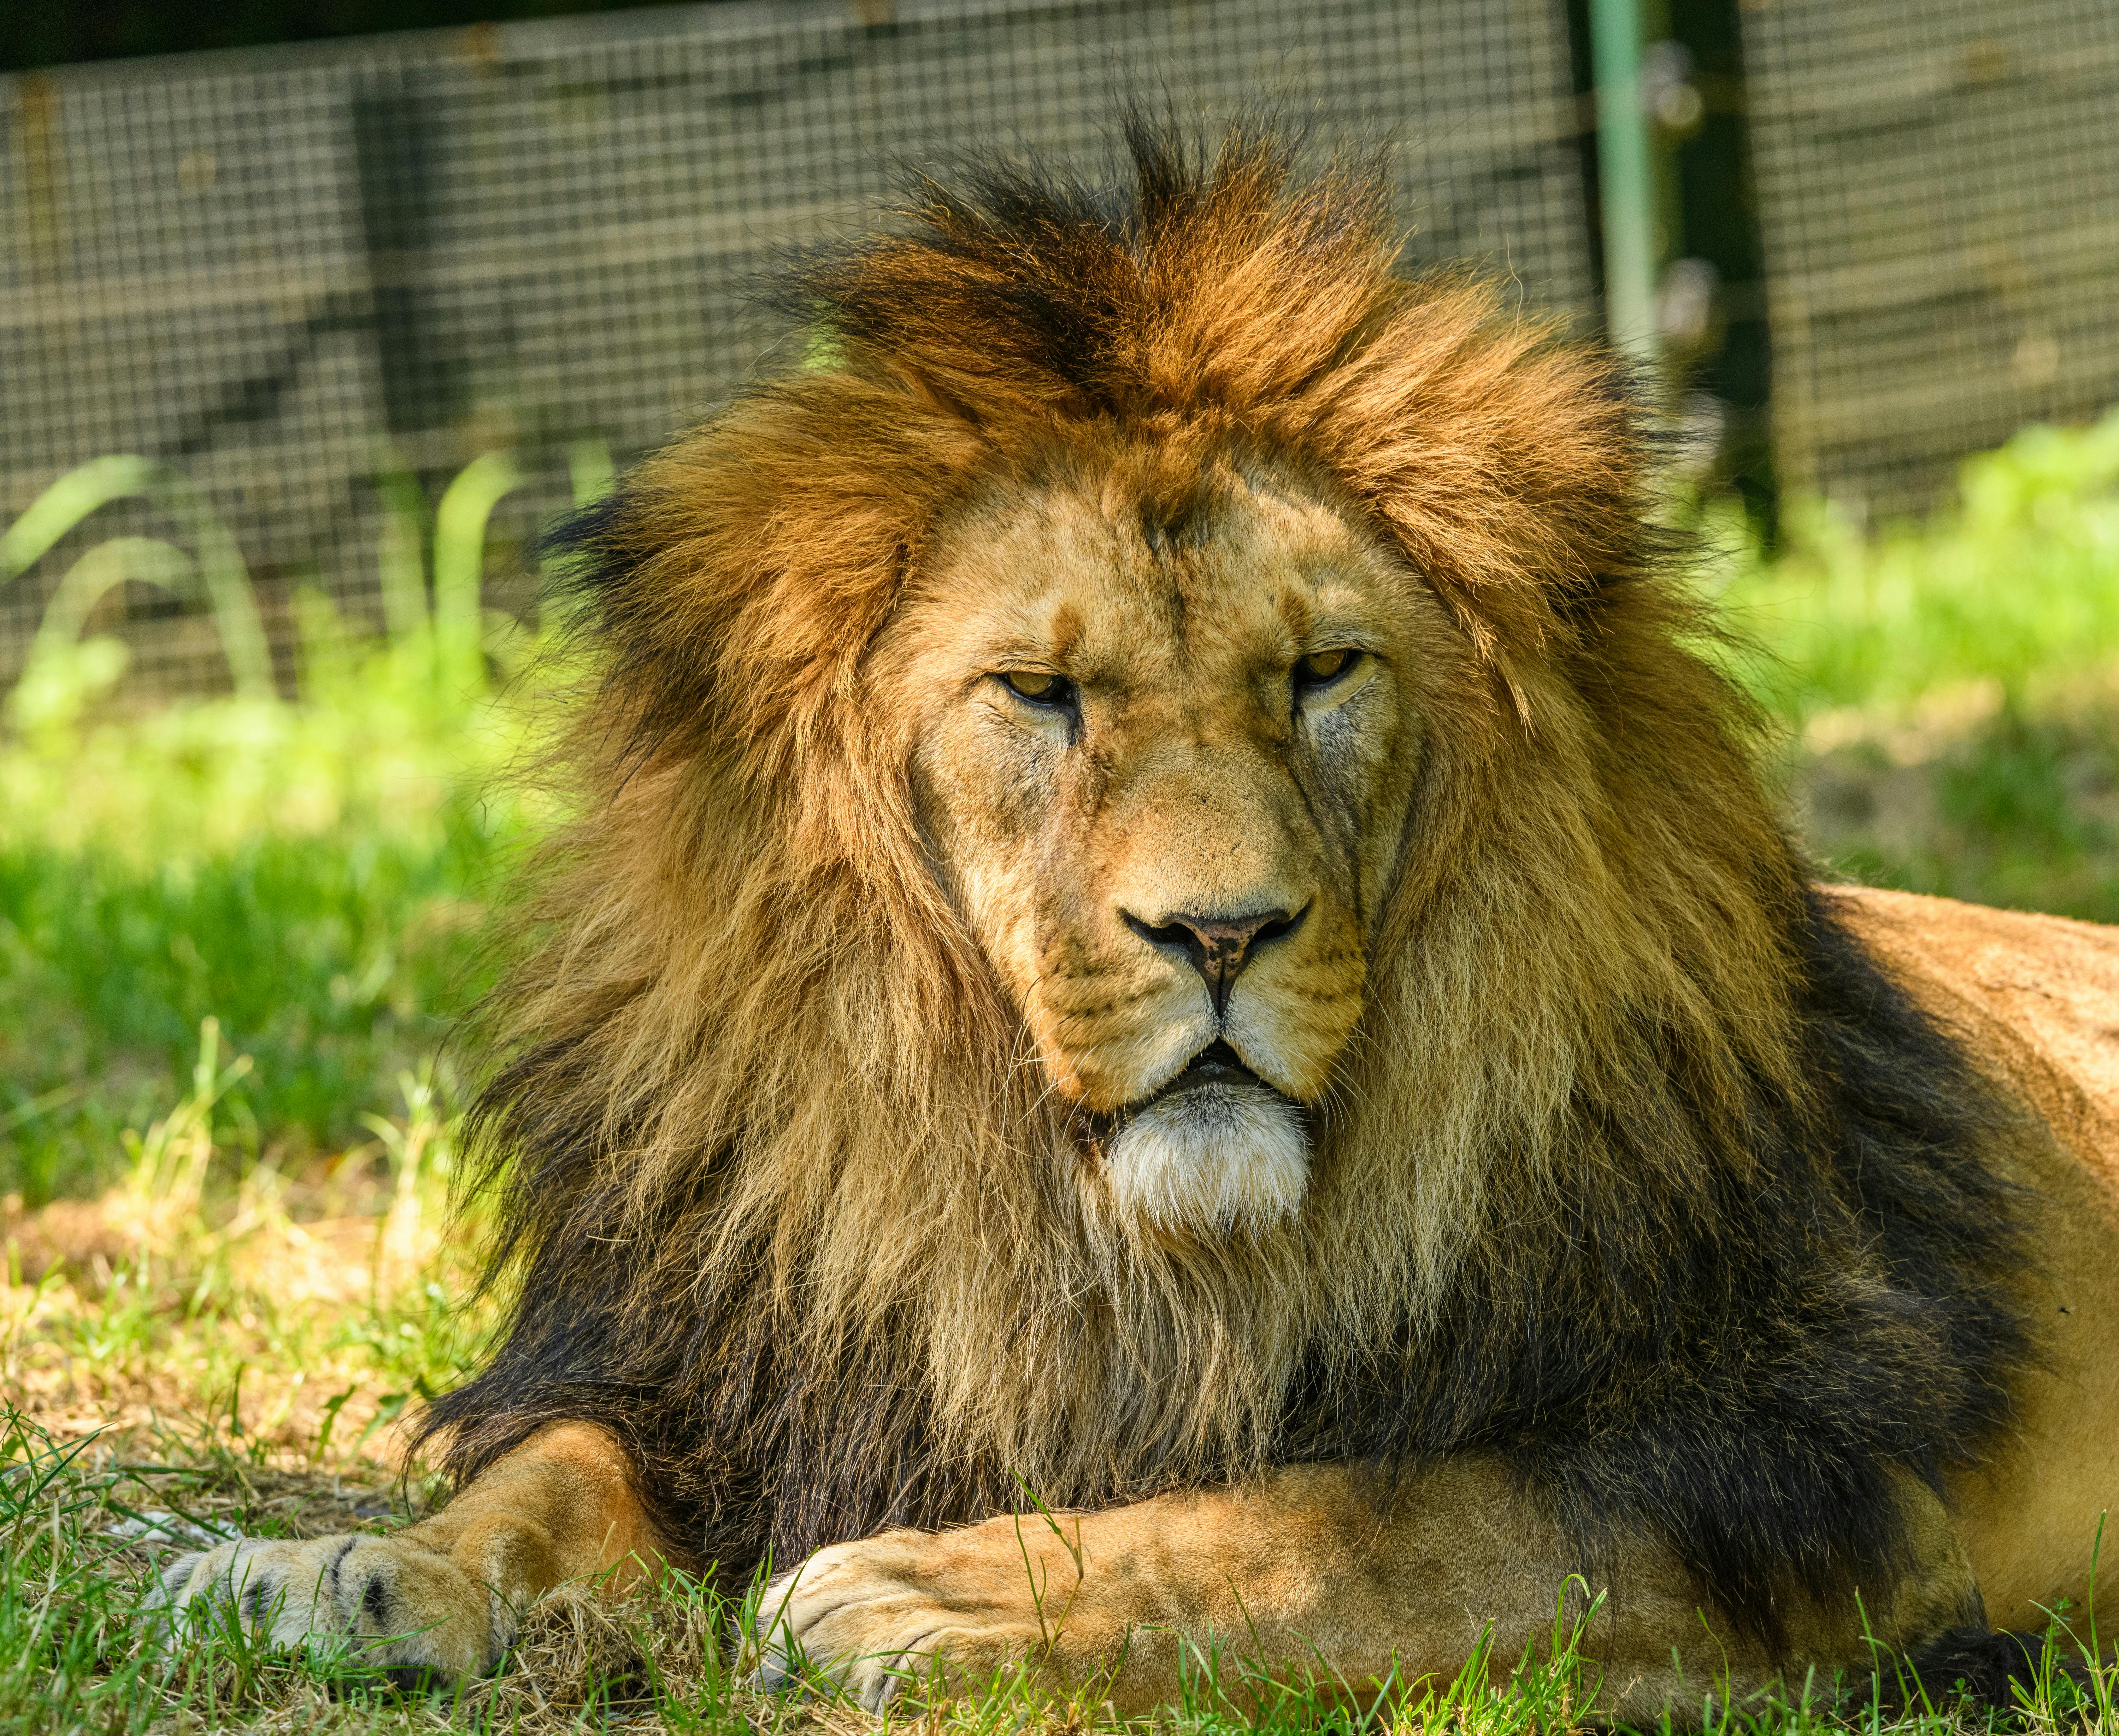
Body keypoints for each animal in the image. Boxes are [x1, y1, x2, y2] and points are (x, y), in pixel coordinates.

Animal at [150, 127, 2119, 1718]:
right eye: (1040, 690)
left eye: (1322, 672)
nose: (1222, 934)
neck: (1104, 1239)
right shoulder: (735, 1349)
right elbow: (553, 1468)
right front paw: (347, 1571)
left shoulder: (1793, 1444)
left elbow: (1370, 1509)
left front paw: (946, 1589)